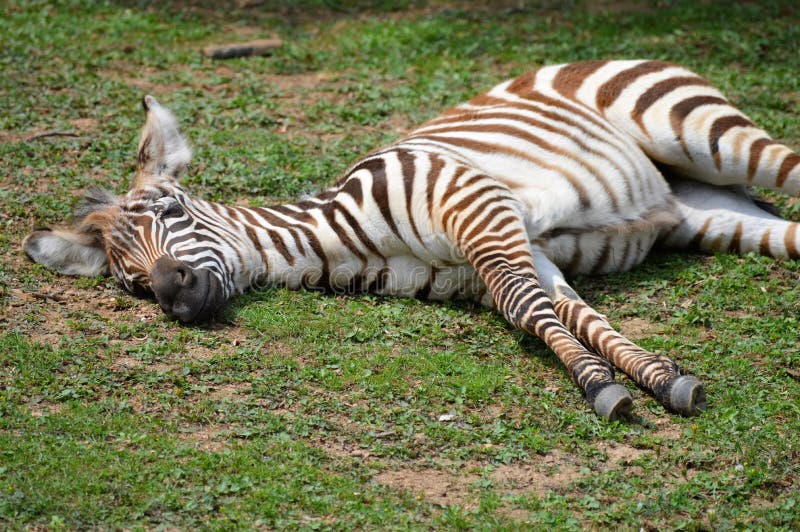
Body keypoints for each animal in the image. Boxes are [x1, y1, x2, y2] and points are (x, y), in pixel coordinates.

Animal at [22, 60, 800, 421]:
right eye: (129, 284)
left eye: (171, 211)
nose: (171, 295)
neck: (338, 241)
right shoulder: (514, 252)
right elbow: (559, 315)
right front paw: (644, 378)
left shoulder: (481, 209)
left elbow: (531, 307)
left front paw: (615, 385)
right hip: (710, 213)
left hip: (703, 134)